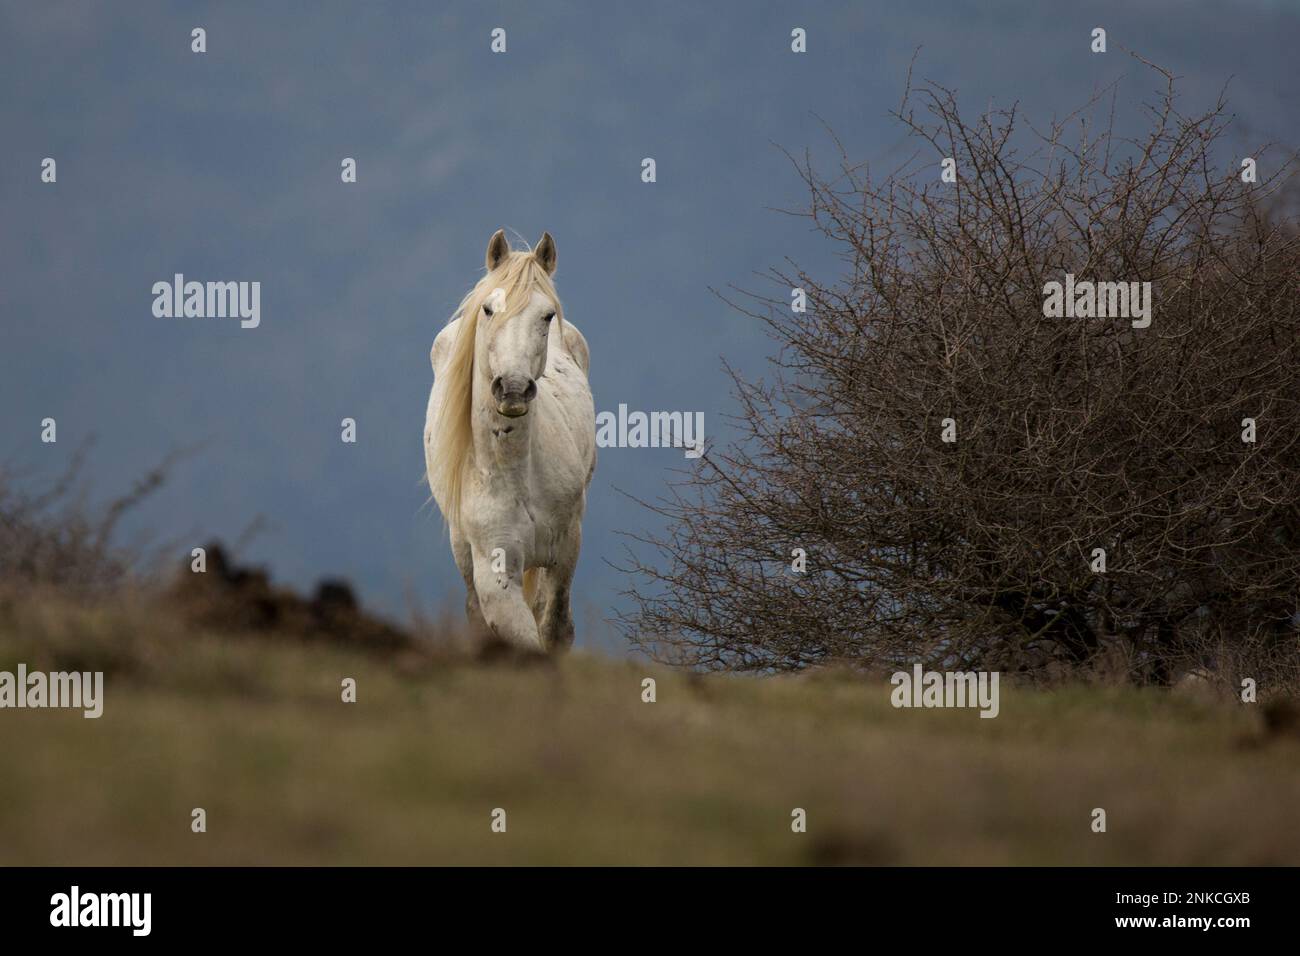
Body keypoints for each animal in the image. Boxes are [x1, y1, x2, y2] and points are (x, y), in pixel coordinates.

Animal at [424, 230, 595, 652]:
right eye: (488, 310)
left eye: (547, 315)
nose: (513, 388)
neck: (515, 473)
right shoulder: (495, 571)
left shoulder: (566, 549)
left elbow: (555, 627)